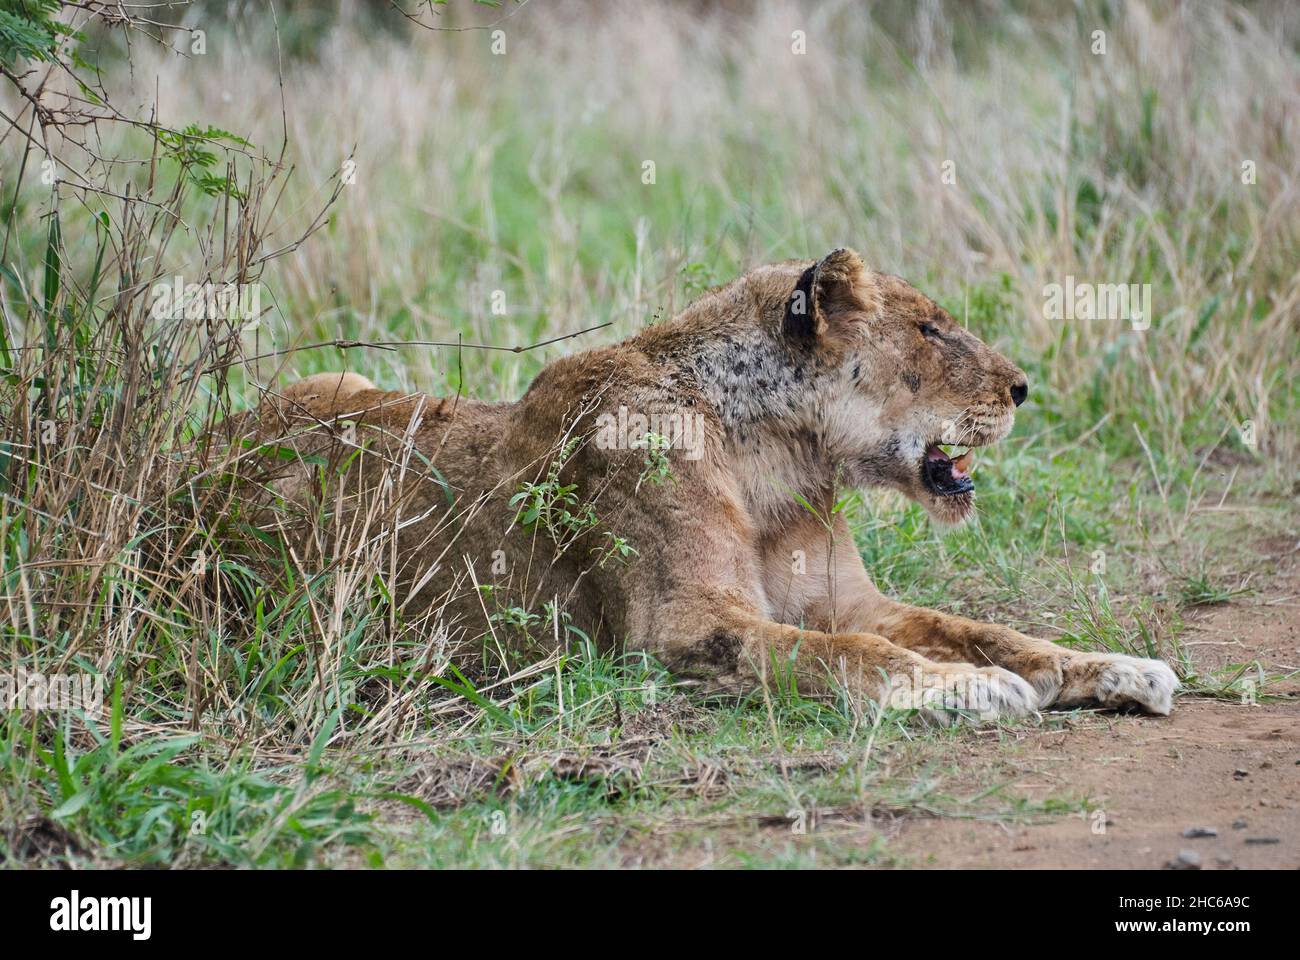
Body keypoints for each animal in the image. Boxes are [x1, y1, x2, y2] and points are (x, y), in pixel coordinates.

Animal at [235, 248, 1177, 719]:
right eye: (931, 329)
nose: (1022, 388)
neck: (780, 460)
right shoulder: (679, 625)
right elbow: (846, 655)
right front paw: (960, 688)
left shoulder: (851, 601)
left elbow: (984, 630)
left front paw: (1117, 667)